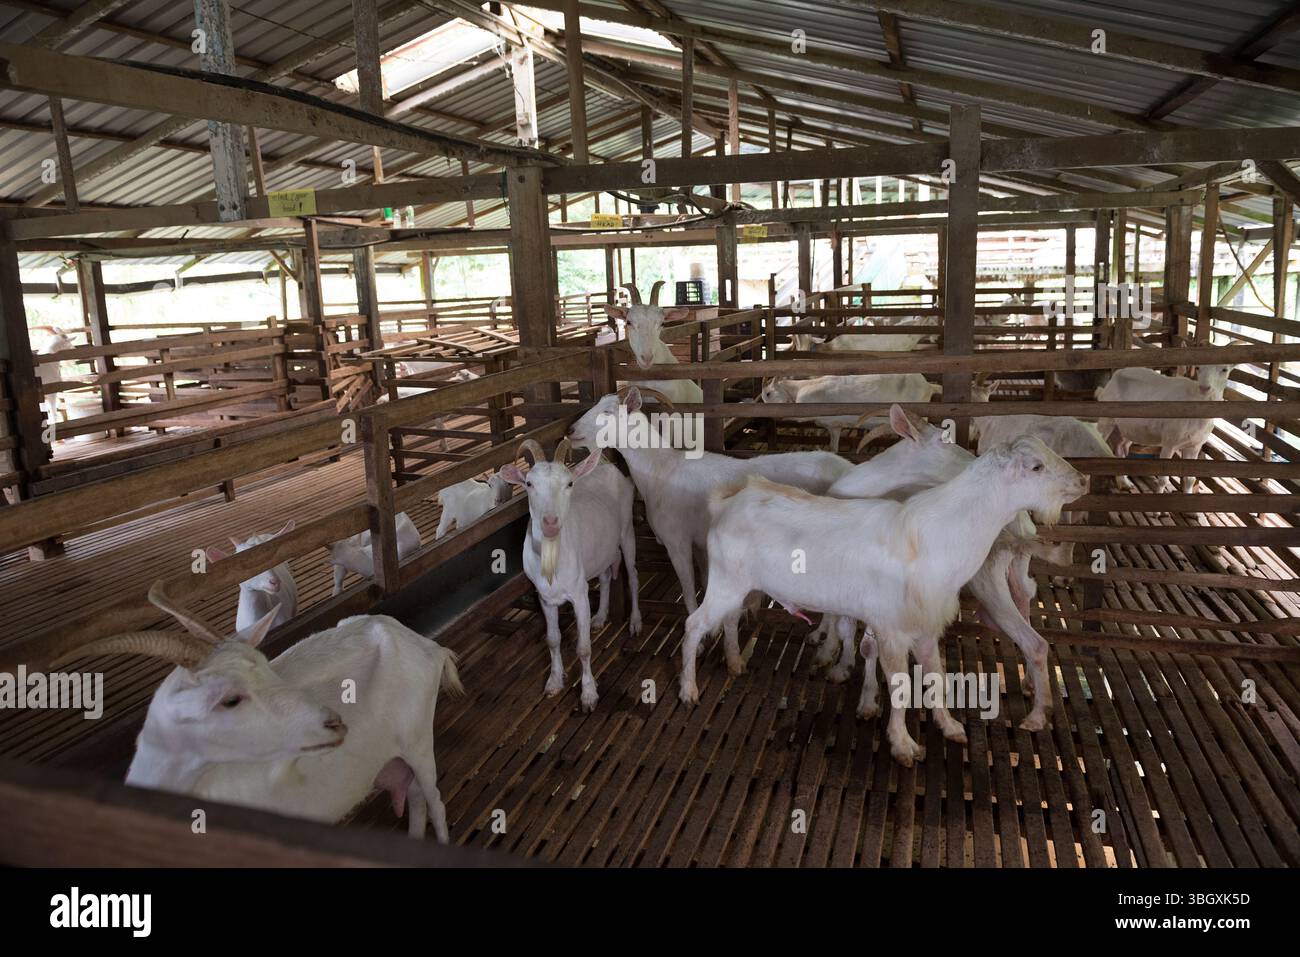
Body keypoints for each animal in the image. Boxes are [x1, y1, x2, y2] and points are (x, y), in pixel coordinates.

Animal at [54, 581, 461, 841]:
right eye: (230, 699)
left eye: (268, 666)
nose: (333, 722)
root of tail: (424, 644)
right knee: (415, 799)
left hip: (418, 742)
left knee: (434, 802)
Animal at [501, 437, 642, 711]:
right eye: (529, 484)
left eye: (569, 483)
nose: (550, 522)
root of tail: (607, 466)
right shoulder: (544, 597)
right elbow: (553, 639)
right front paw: (554, 682)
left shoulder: (579, 595)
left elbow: (584, 648)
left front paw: (588, 694)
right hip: (600, 549)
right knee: (605, 576)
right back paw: (600, 617)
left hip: (627, 531)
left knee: (632, 574)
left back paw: (635, 622)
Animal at [568, 386, 852, 614]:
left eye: (608, 412)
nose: (570, 430)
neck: (661, 469)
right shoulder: (698, 542)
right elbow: (704, 580)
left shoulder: (677, 540)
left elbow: (688, 588)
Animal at [684, 434, 1086, 764]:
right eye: (1036, 466)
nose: (1083, 481)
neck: (933, 536)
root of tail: (727, 502)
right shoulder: (892, 628)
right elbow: (901, 685)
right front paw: (903, 744)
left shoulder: (927, 626)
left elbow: (935, 676)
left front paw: (949, 726)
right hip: (726, 581)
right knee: (694, 624)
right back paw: (688, 689)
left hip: (738, 585)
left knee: (728, 618)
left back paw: (735, 662)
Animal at [1096, 364, 1233, 493]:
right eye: (1198, 368)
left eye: (1224, 369)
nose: (1204, 388)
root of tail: (1116, 374)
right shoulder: (1169, 442)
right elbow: (1163, 479)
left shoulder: (1194, 446)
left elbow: (1190, 479)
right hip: (1106, 417)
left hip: (1127, 428)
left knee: (1120, 448)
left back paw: (1124, 482)